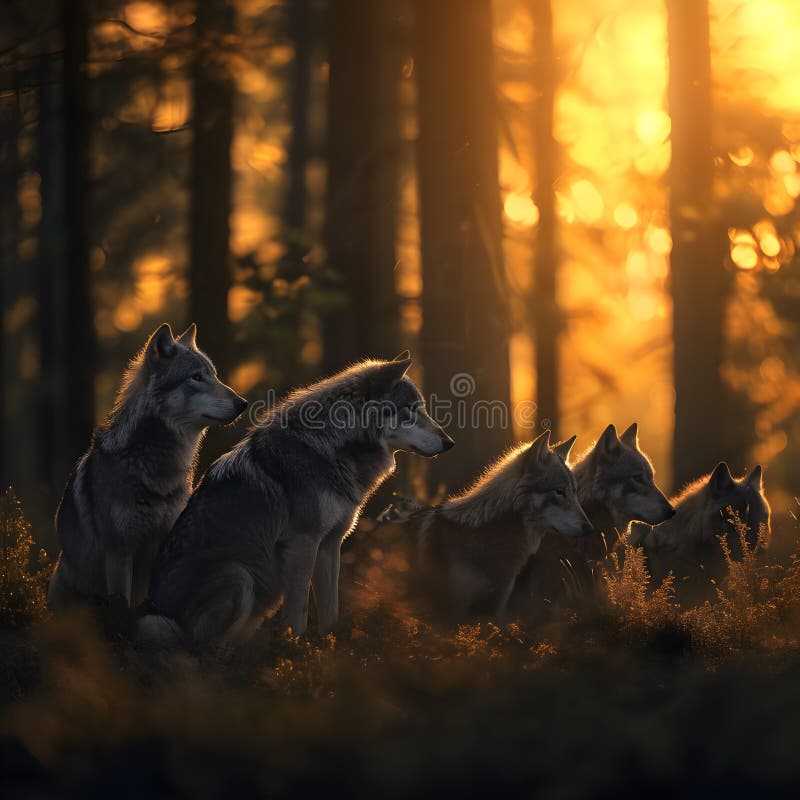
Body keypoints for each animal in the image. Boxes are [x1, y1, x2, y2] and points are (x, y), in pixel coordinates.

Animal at [47, 323, 248, 612]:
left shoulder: (163, 543)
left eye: (214, 376)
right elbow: (121, 603)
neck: (156, 469)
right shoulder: (119, 552)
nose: (243, 403)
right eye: (196, 377)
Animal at [141, 355, 454, 647]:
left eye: (422, 408)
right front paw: (291, 651)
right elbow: (299, 612)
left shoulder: (330, 545)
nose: (450, 442)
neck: (333, 447)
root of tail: (156, 610)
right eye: (412, 410)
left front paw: (329, 652)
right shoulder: (304, 542)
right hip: (239, 575)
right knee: (201, 647)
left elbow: (330, 612)